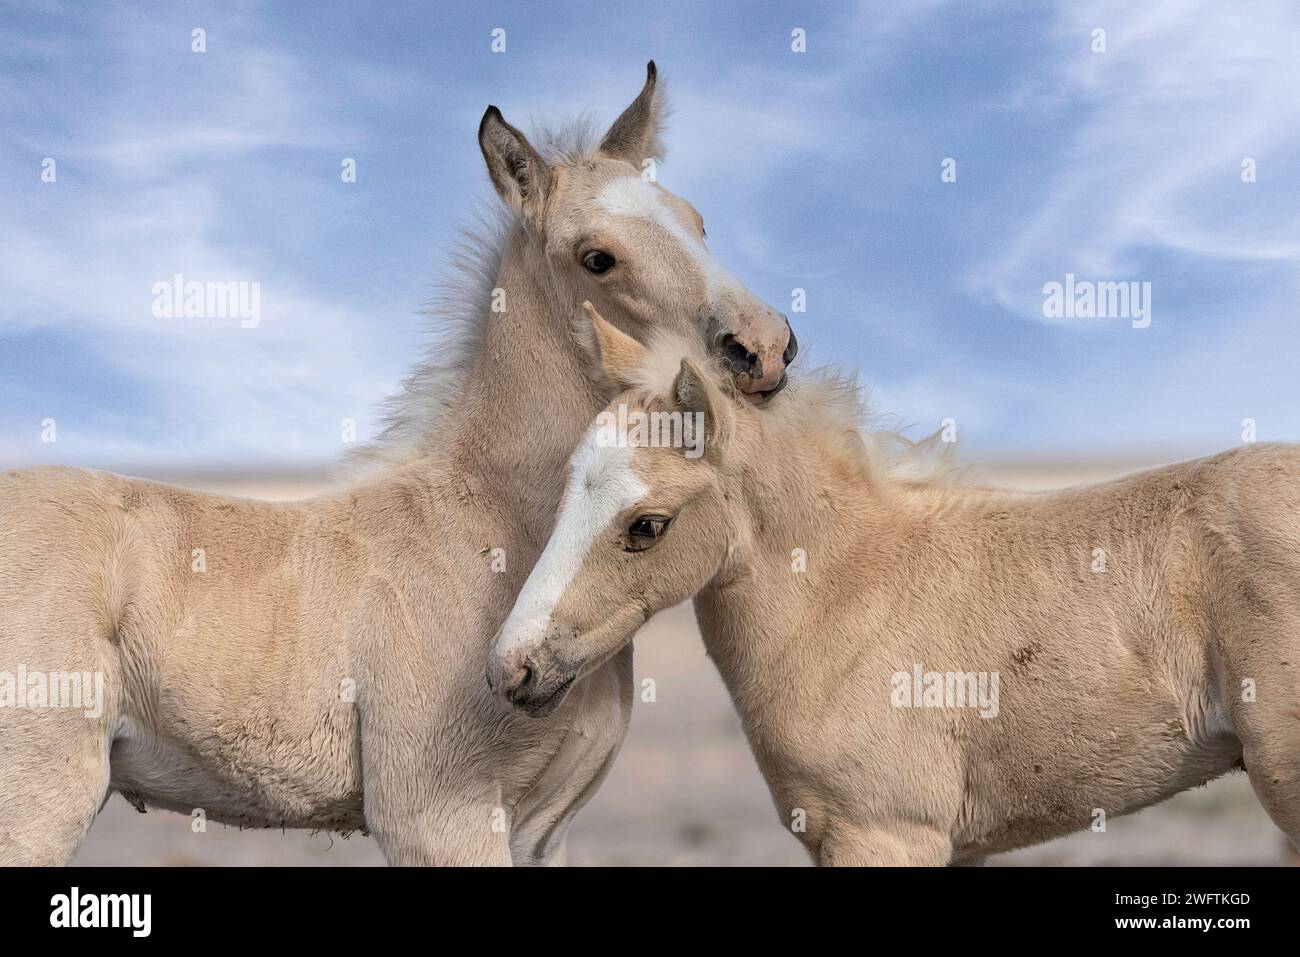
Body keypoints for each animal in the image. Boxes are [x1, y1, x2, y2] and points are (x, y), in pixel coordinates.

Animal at [0, 64, 797, 865]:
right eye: (596, 257)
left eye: (696, 221)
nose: (763, 347)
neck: (490, 534)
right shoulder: (436, 817)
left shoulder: (545, 829)